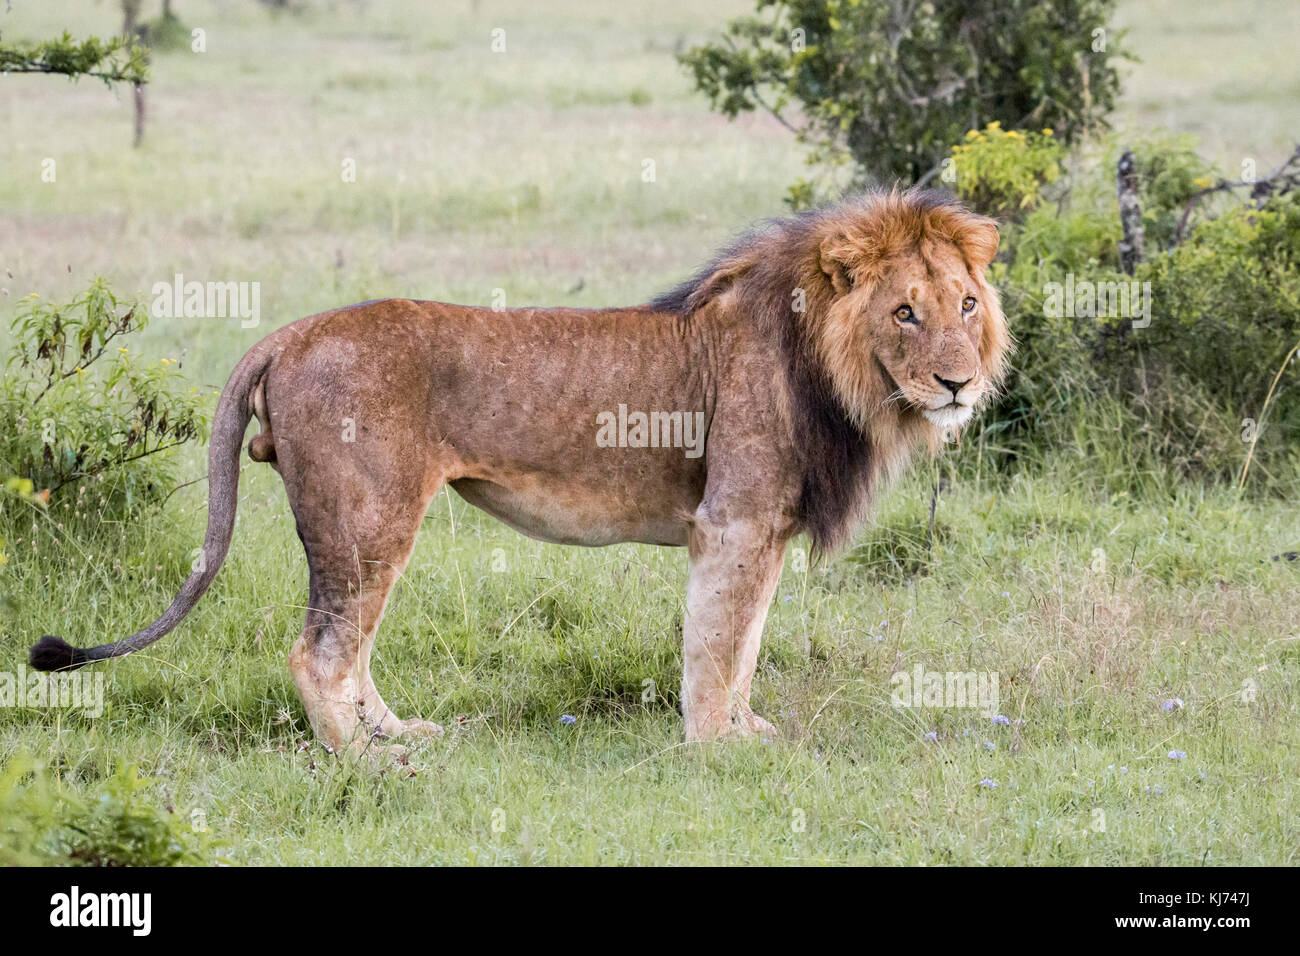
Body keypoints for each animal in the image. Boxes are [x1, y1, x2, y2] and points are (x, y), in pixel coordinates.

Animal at [29, 188, 1010, 753]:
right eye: (905, 313)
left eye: (967, 304)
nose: (959, 382)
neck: (832, 369)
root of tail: (290, 332)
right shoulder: (731, 520)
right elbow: (717, 643)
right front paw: (713, 748)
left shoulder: (763, 528)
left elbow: (747, 642)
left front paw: (747, 729)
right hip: (369, 515)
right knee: (320, 652)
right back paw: (365, 762)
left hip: (369, 525)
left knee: (352, 644)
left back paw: (399, 734)